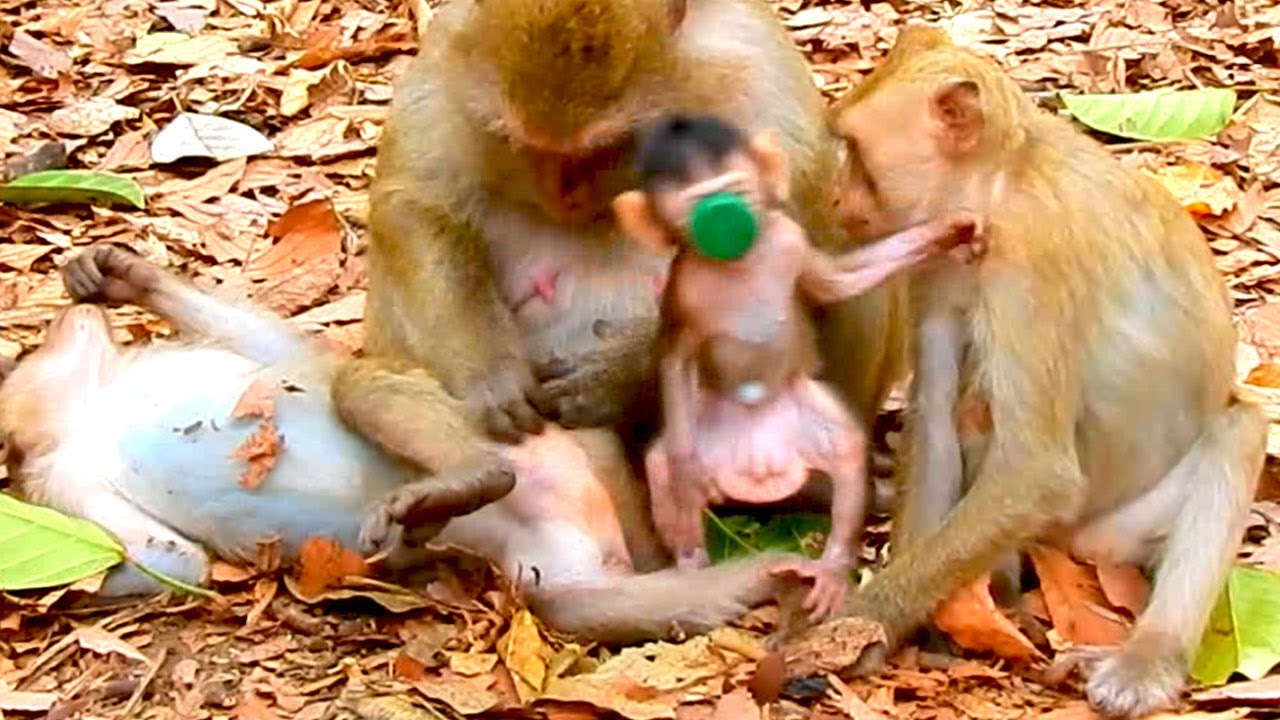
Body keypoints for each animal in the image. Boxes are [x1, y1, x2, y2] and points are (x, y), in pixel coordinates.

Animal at [0, 245, 808, 643]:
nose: (62, 325)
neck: (91, 408)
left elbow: (288, 356)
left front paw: (124, 278)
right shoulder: (65, 479)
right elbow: (172, 558)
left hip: (512, 431)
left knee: (356, 385)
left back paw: (465, 480)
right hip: (556, 549)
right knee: (575, 597)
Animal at [330, 0, 908, 522]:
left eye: (601, 148)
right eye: (525, 146)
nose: (563, 194)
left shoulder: (760, 82)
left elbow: (801, 252)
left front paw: (617, 377)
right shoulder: (452, 56)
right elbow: (417, 204)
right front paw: (491, 374)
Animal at [610, 115, 982, 621]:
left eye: (737, 189)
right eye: (694, 207)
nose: (725, 218)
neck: (741, 264)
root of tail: (759, 458)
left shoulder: (789, 240)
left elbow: (838, 283)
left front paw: (946, 230)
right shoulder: (681, 289)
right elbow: (675, 360)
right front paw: (688, 475)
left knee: (846, 448)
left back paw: (831, 569)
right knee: (660, 465)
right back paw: (692, 564)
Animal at [824, 26, 1266, 718]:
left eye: (856, 152)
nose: (835, 196)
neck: (1002, 185)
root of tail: (1084, 545)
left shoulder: (1031, 263)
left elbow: (1037, 472)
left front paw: (853, 624)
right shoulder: (939, 257)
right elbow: (936, 417)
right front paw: (887, 630)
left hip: (1127, 527)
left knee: (1238, 429)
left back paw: (1149, 659)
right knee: (975, 411)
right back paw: (1000, 594)